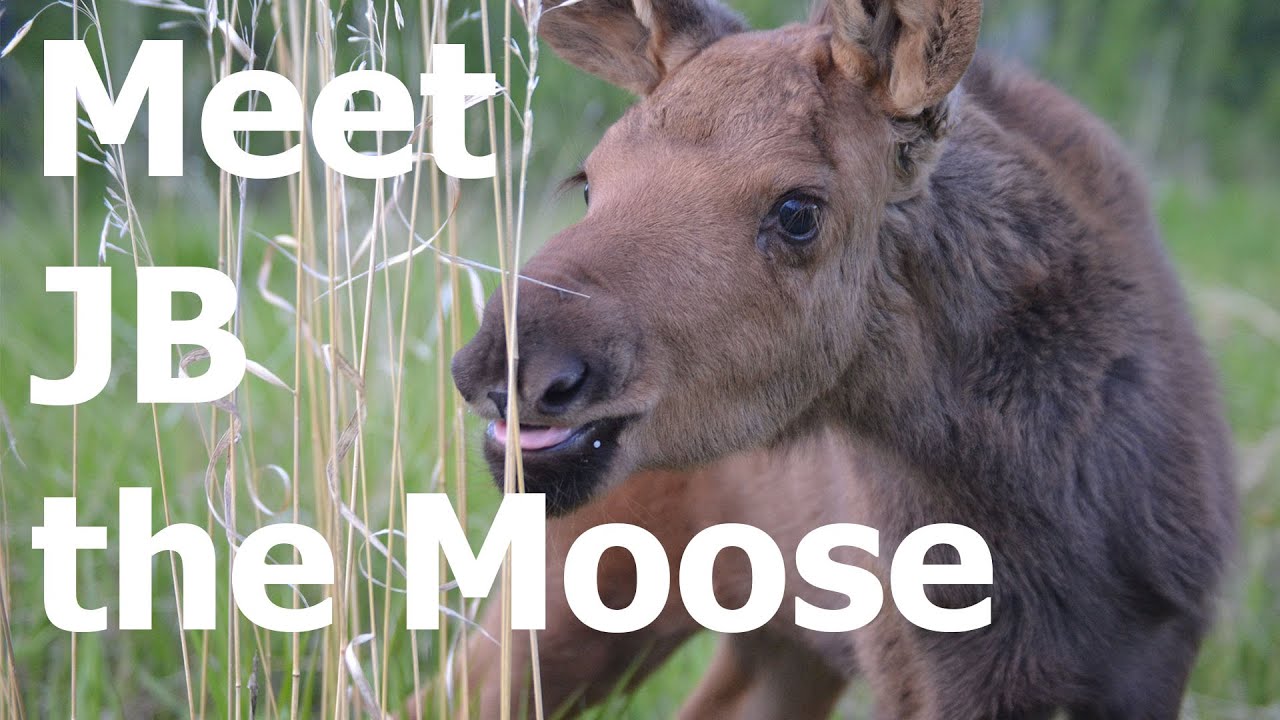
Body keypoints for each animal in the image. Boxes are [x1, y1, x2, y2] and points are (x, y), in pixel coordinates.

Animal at [449, 0, 1239, 717]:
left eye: (799, 211)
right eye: (589, 180)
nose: (511, 364)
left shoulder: (1157, 649)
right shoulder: (926, 669)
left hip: (776, 638)